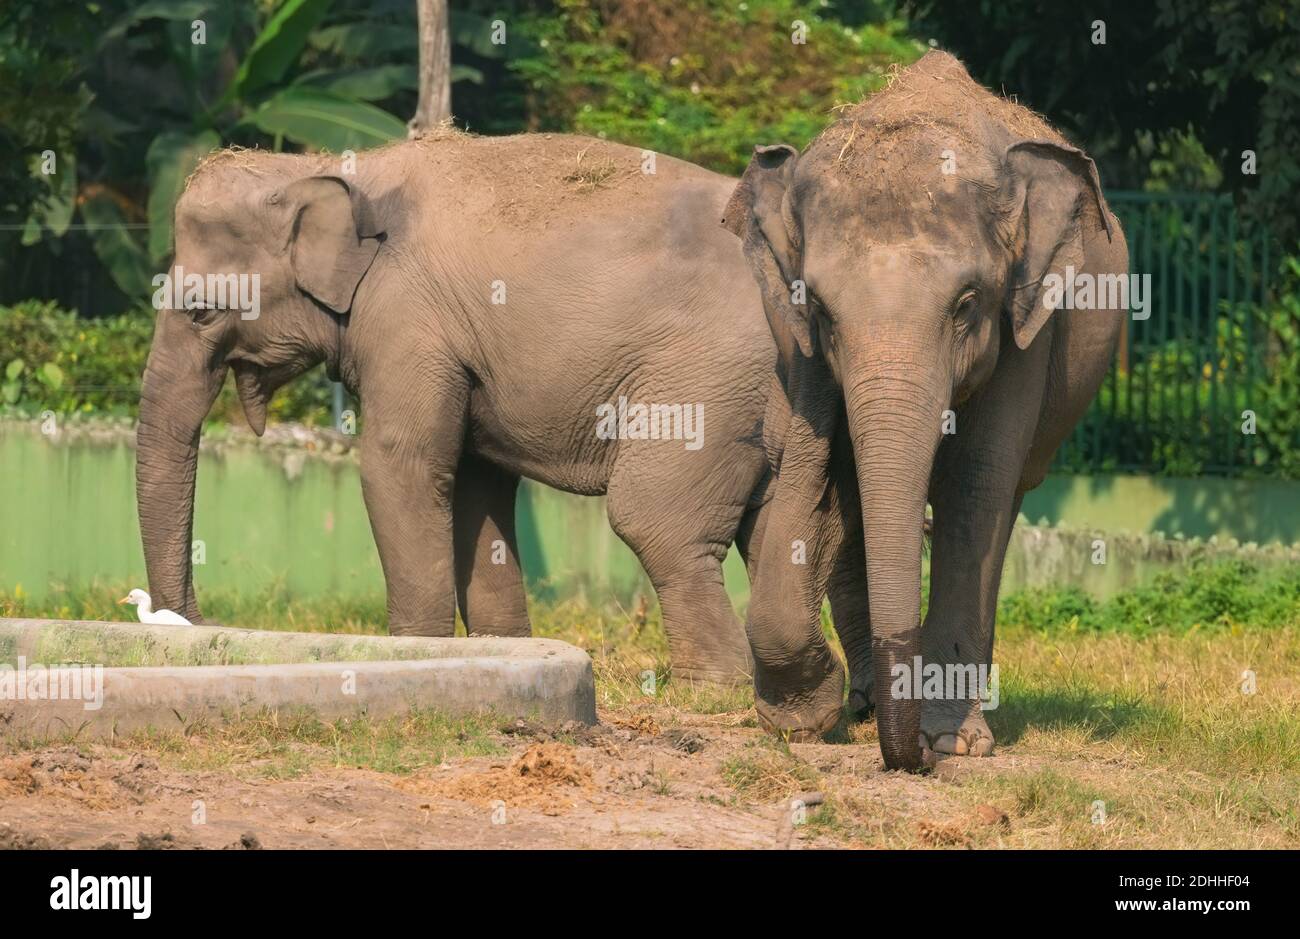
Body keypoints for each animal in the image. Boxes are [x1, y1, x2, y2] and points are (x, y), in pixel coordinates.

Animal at [137, 129, 823, 684]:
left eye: (200, 310)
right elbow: (476, 487)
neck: (325, 167)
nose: (194, 624)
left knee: (656, 520)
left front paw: (415, 657)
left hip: (707, 379)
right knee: (768, 528)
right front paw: (504, 649)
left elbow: (400, 468)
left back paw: (716, 688)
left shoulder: (406, 316)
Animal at [722, 50, 1128, 769]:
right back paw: (864, 704)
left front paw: (951, 742)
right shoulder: (799, 351)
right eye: (819, 307)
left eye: (966, 303)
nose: (905, 758)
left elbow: (974, 486)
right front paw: (799, 721)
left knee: (1001, 505)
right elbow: (818, 479)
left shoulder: (1026, 326)